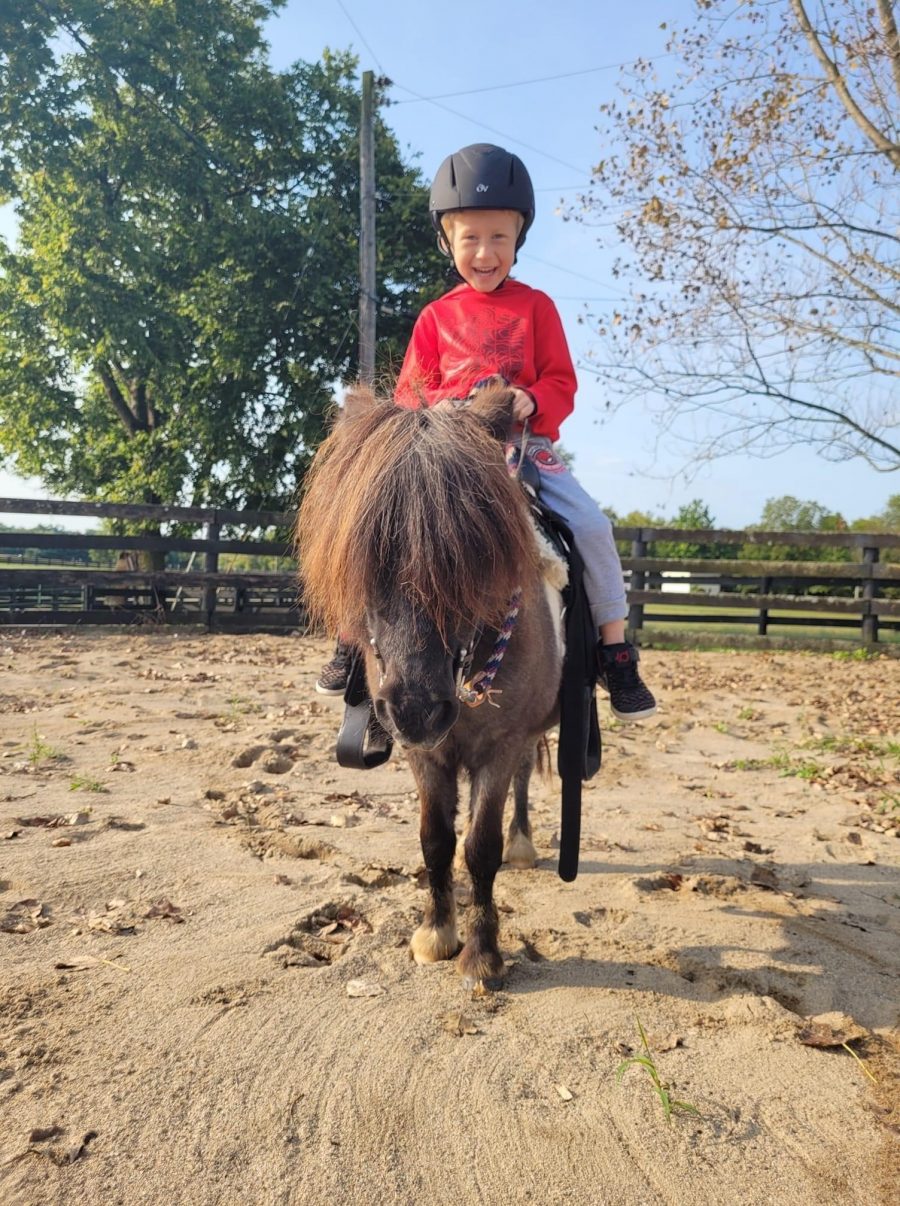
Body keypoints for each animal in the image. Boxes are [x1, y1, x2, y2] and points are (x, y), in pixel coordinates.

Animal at [296, 384, 564, 991]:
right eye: (363, 558)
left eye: (474, 557)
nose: (417, 710)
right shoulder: (426, 756)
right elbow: (436, 840)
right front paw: (437, 933)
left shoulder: (500, 744)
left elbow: (482, 847)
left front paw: (483, 953)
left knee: (520, 785)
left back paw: (522, 843)